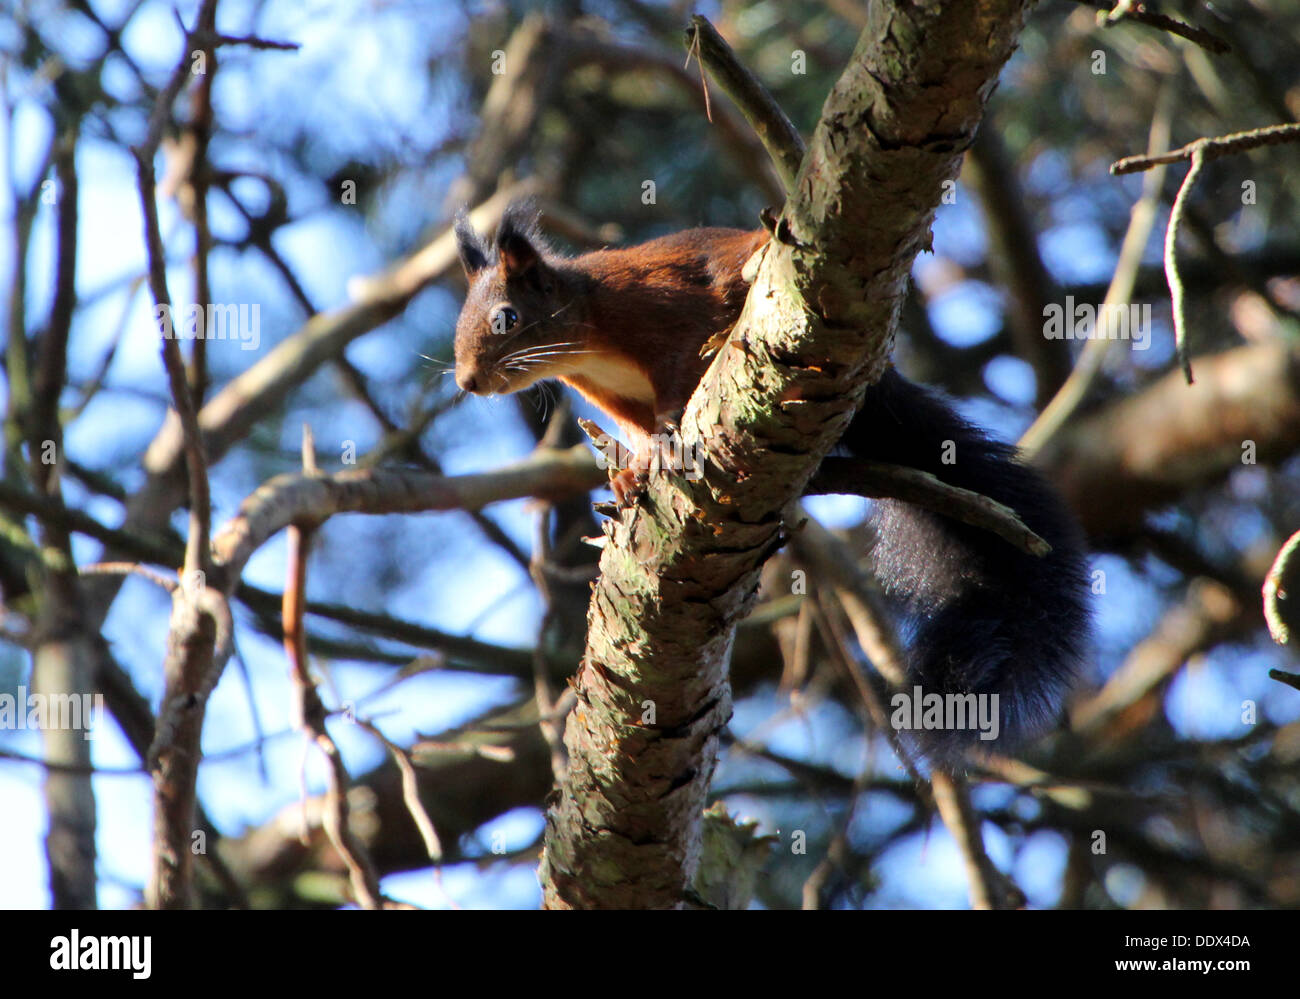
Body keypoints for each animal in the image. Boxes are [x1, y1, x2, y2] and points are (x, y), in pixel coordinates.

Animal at [452, 204, 1091, 760]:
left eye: (505, 318)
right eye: (460, 325)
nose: (466, 382)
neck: (585, 340)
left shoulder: (662, 311)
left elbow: (680, 374)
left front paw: (663, 445)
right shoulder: (613, 396)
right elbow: (637, 430)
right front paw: (634, 471)